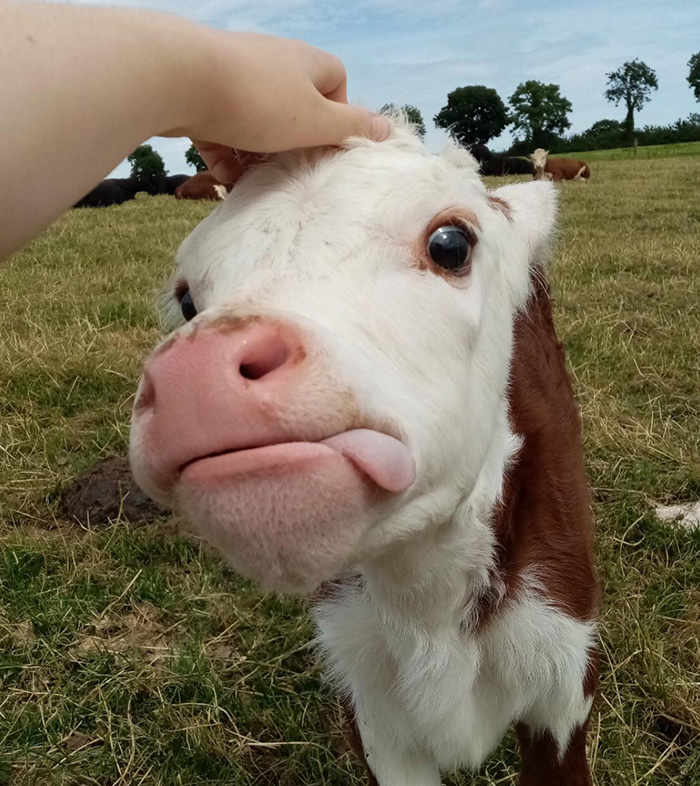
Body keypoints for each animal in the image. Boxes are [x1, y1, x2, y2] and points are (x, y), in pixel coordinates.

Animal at [130, 121, 598, 786]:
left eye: (451, 243)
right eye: (189, 301)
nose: (196, 377)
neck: (426, 599)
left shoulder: (562, 677)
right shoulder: (371, 708)